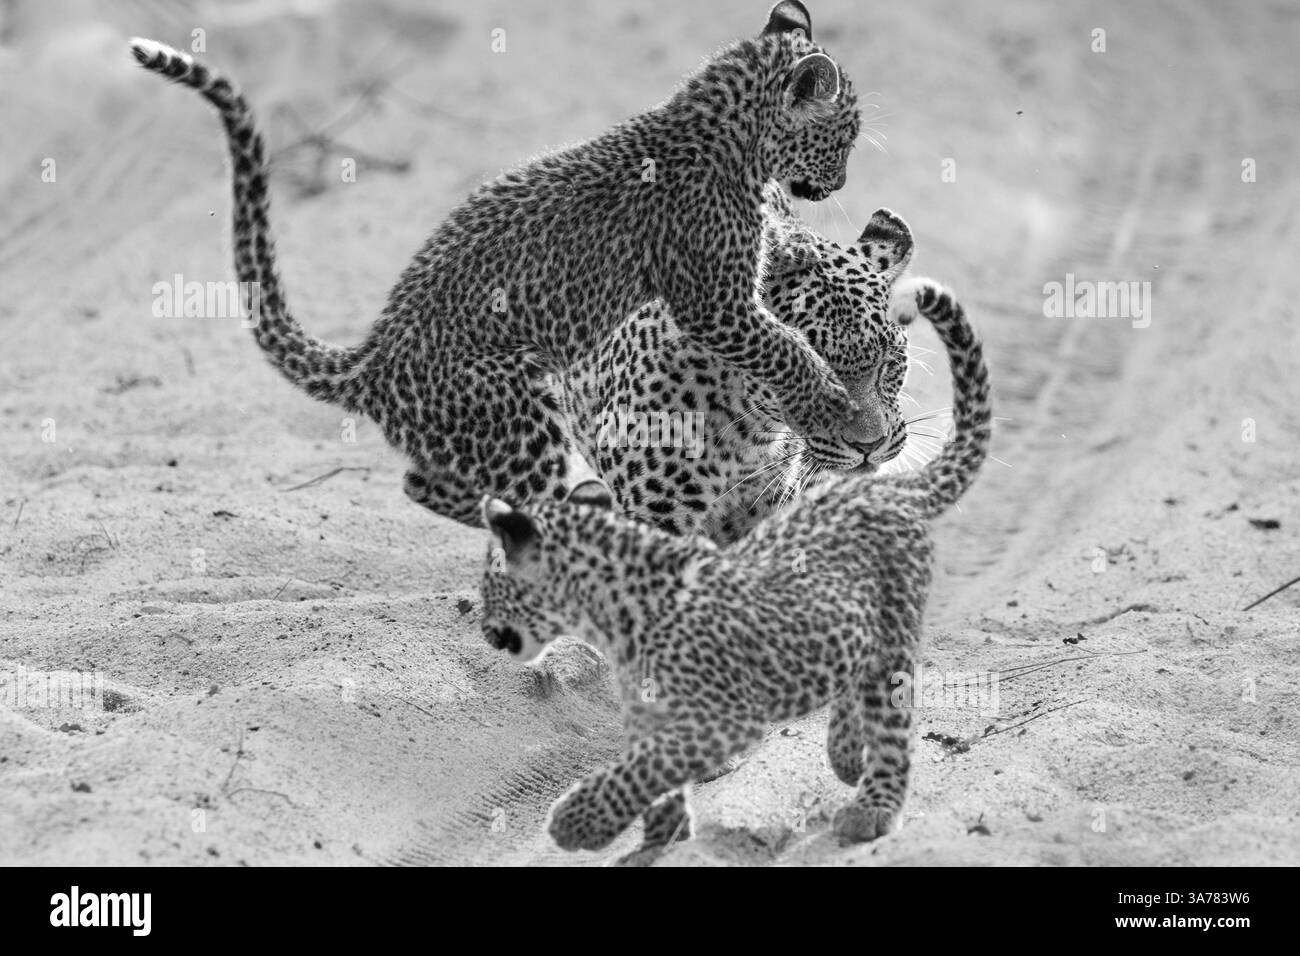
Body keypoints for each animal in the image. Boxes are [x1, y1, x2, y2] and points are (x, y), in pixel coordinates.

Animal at [127, 1, 876, 530]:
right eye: (846, 135)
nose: (841, 182)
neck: (727, 134)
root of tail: (370, 363)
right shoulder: (714, 300)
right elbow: (783, 348)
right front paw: (832, 403)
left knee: (424, 482)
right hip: (515, 406)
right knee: (477, 486)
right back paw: (574, 516)